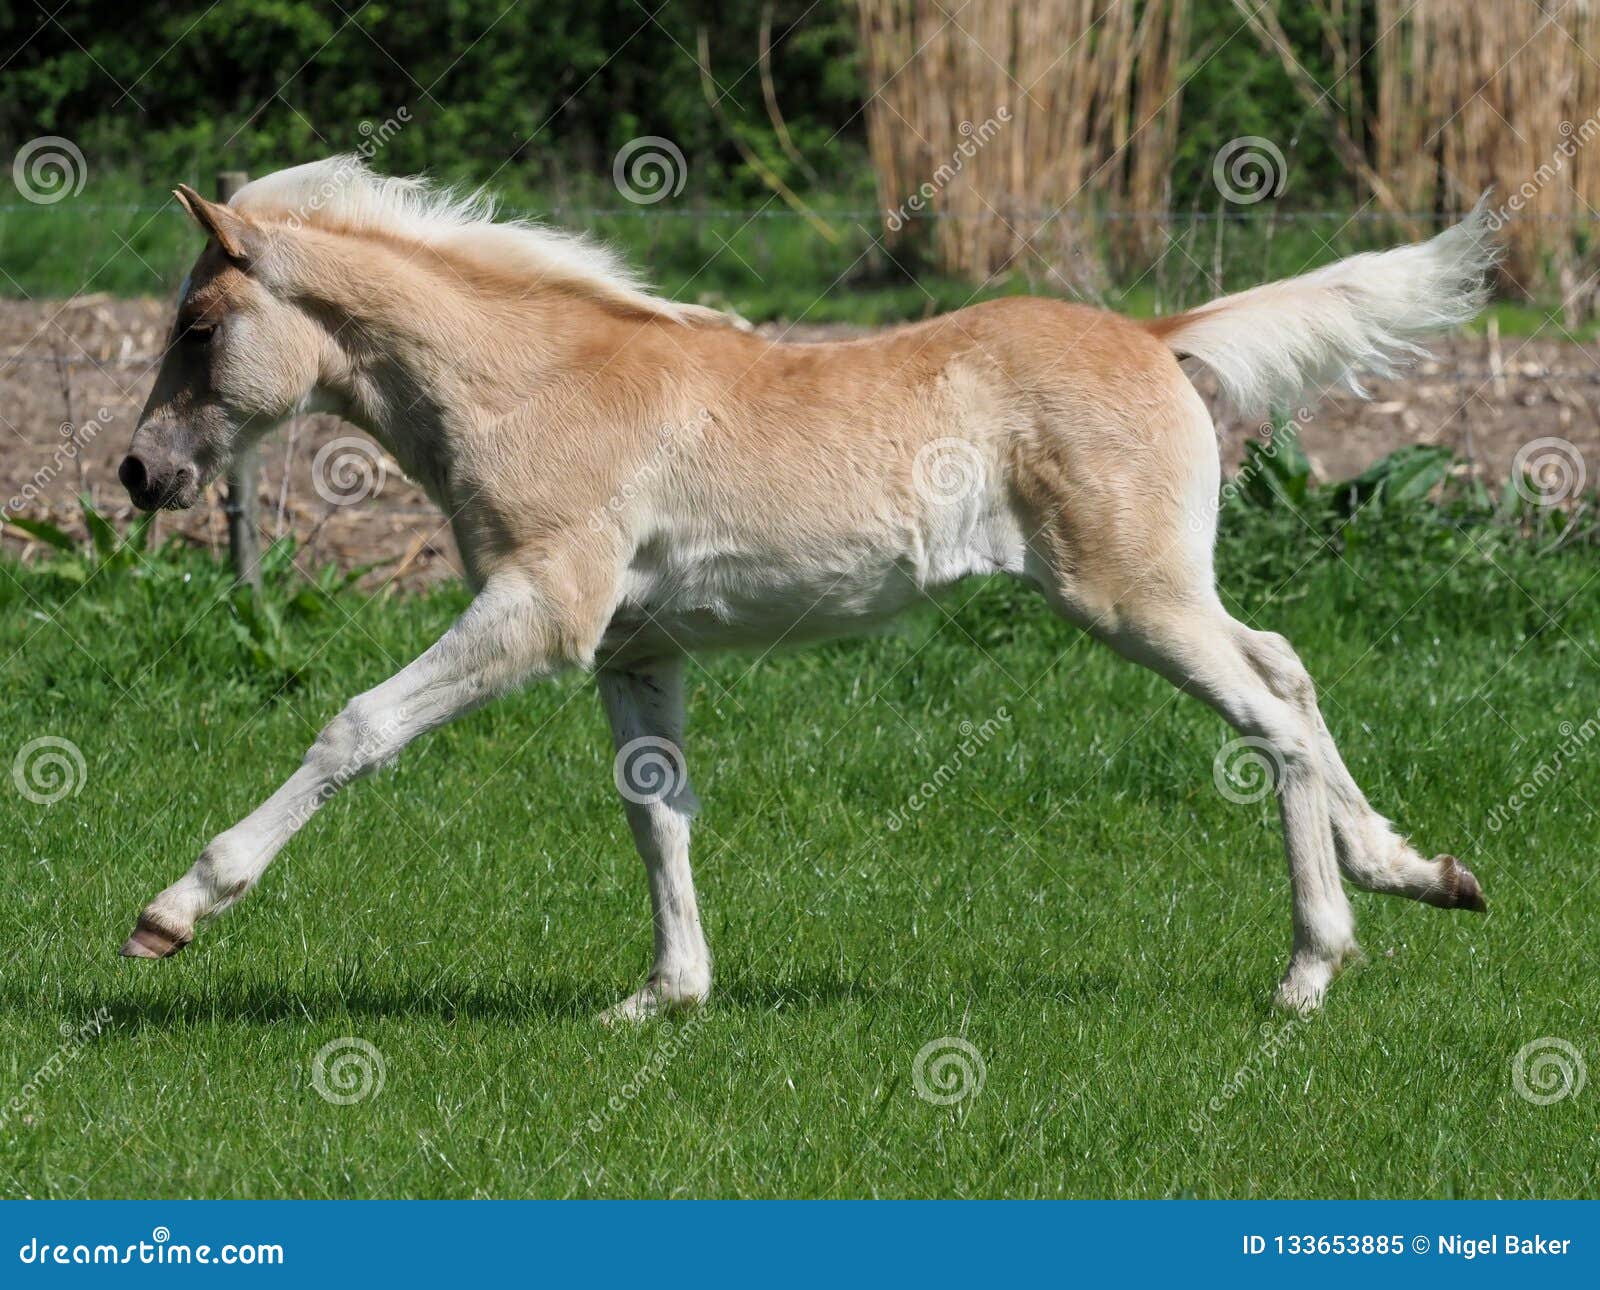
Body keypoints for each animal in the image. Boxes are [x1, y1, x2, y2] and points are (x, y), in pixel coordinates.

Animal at [117, 157, 1494, 1017]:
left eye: (198, 327)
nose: (141, 473)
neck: (538, 386)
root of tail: (1157, 336)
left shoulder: (540, 615)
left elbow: (354, 729)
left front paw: (175, 910)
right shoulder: (635, 650)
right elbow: (657, 812)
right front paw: (663, 999)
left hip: (1125, 597)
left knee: (1268, 719)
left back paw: (1309, 970)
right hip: (1161, 590)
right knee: (1286, 669)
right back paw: (1418, 872)